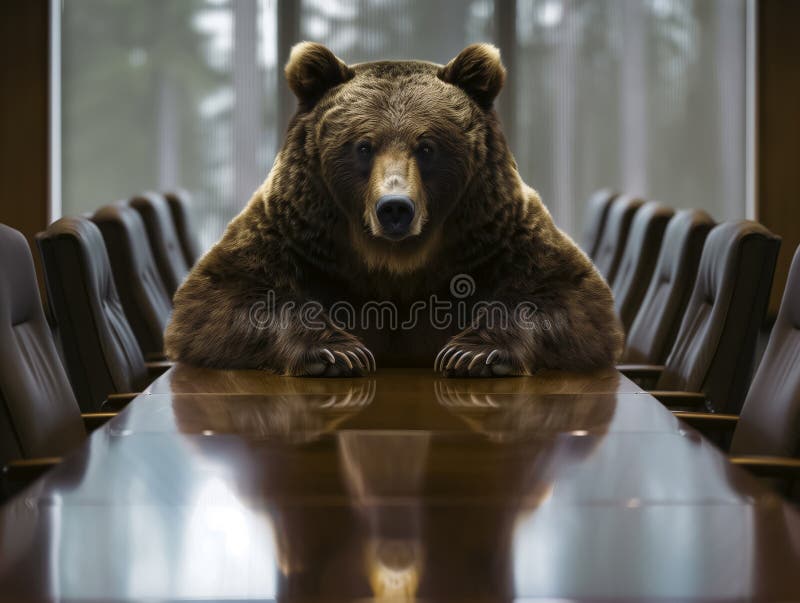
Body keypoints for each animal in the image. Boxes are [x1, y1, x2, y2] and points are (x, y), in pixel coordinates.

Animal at [164, 42, 623, 377]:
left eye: (427, 147)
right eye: (363, 146)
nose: (395, 208)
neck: (395, 258)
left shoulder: (496, 235)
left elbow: (568, 296)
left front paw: (472, 354)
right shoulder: (296, 234)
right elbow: (223, 295)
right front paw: (336, 353)